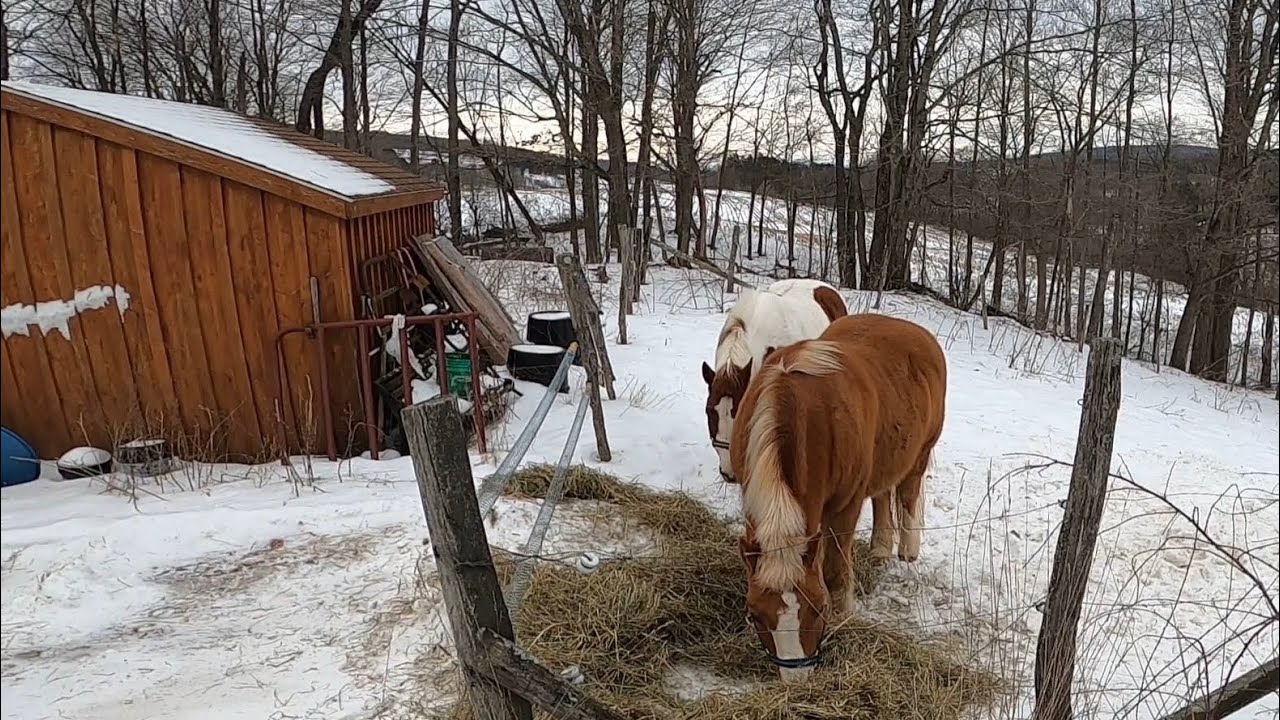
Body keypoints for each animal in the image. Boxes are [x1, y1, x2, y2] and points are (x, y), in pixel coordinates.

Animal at [730, 313, 947, 681]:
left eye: (818, 609)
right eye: (755, 614)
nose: (797, 679)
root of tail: (913, 329)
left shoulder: (844, 506)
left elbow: (833, 570)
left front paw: (844, 615)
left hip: (919, 455)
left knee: (907, 493)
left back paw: (907, 549)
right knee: (882, 494)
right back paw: (879, 549)